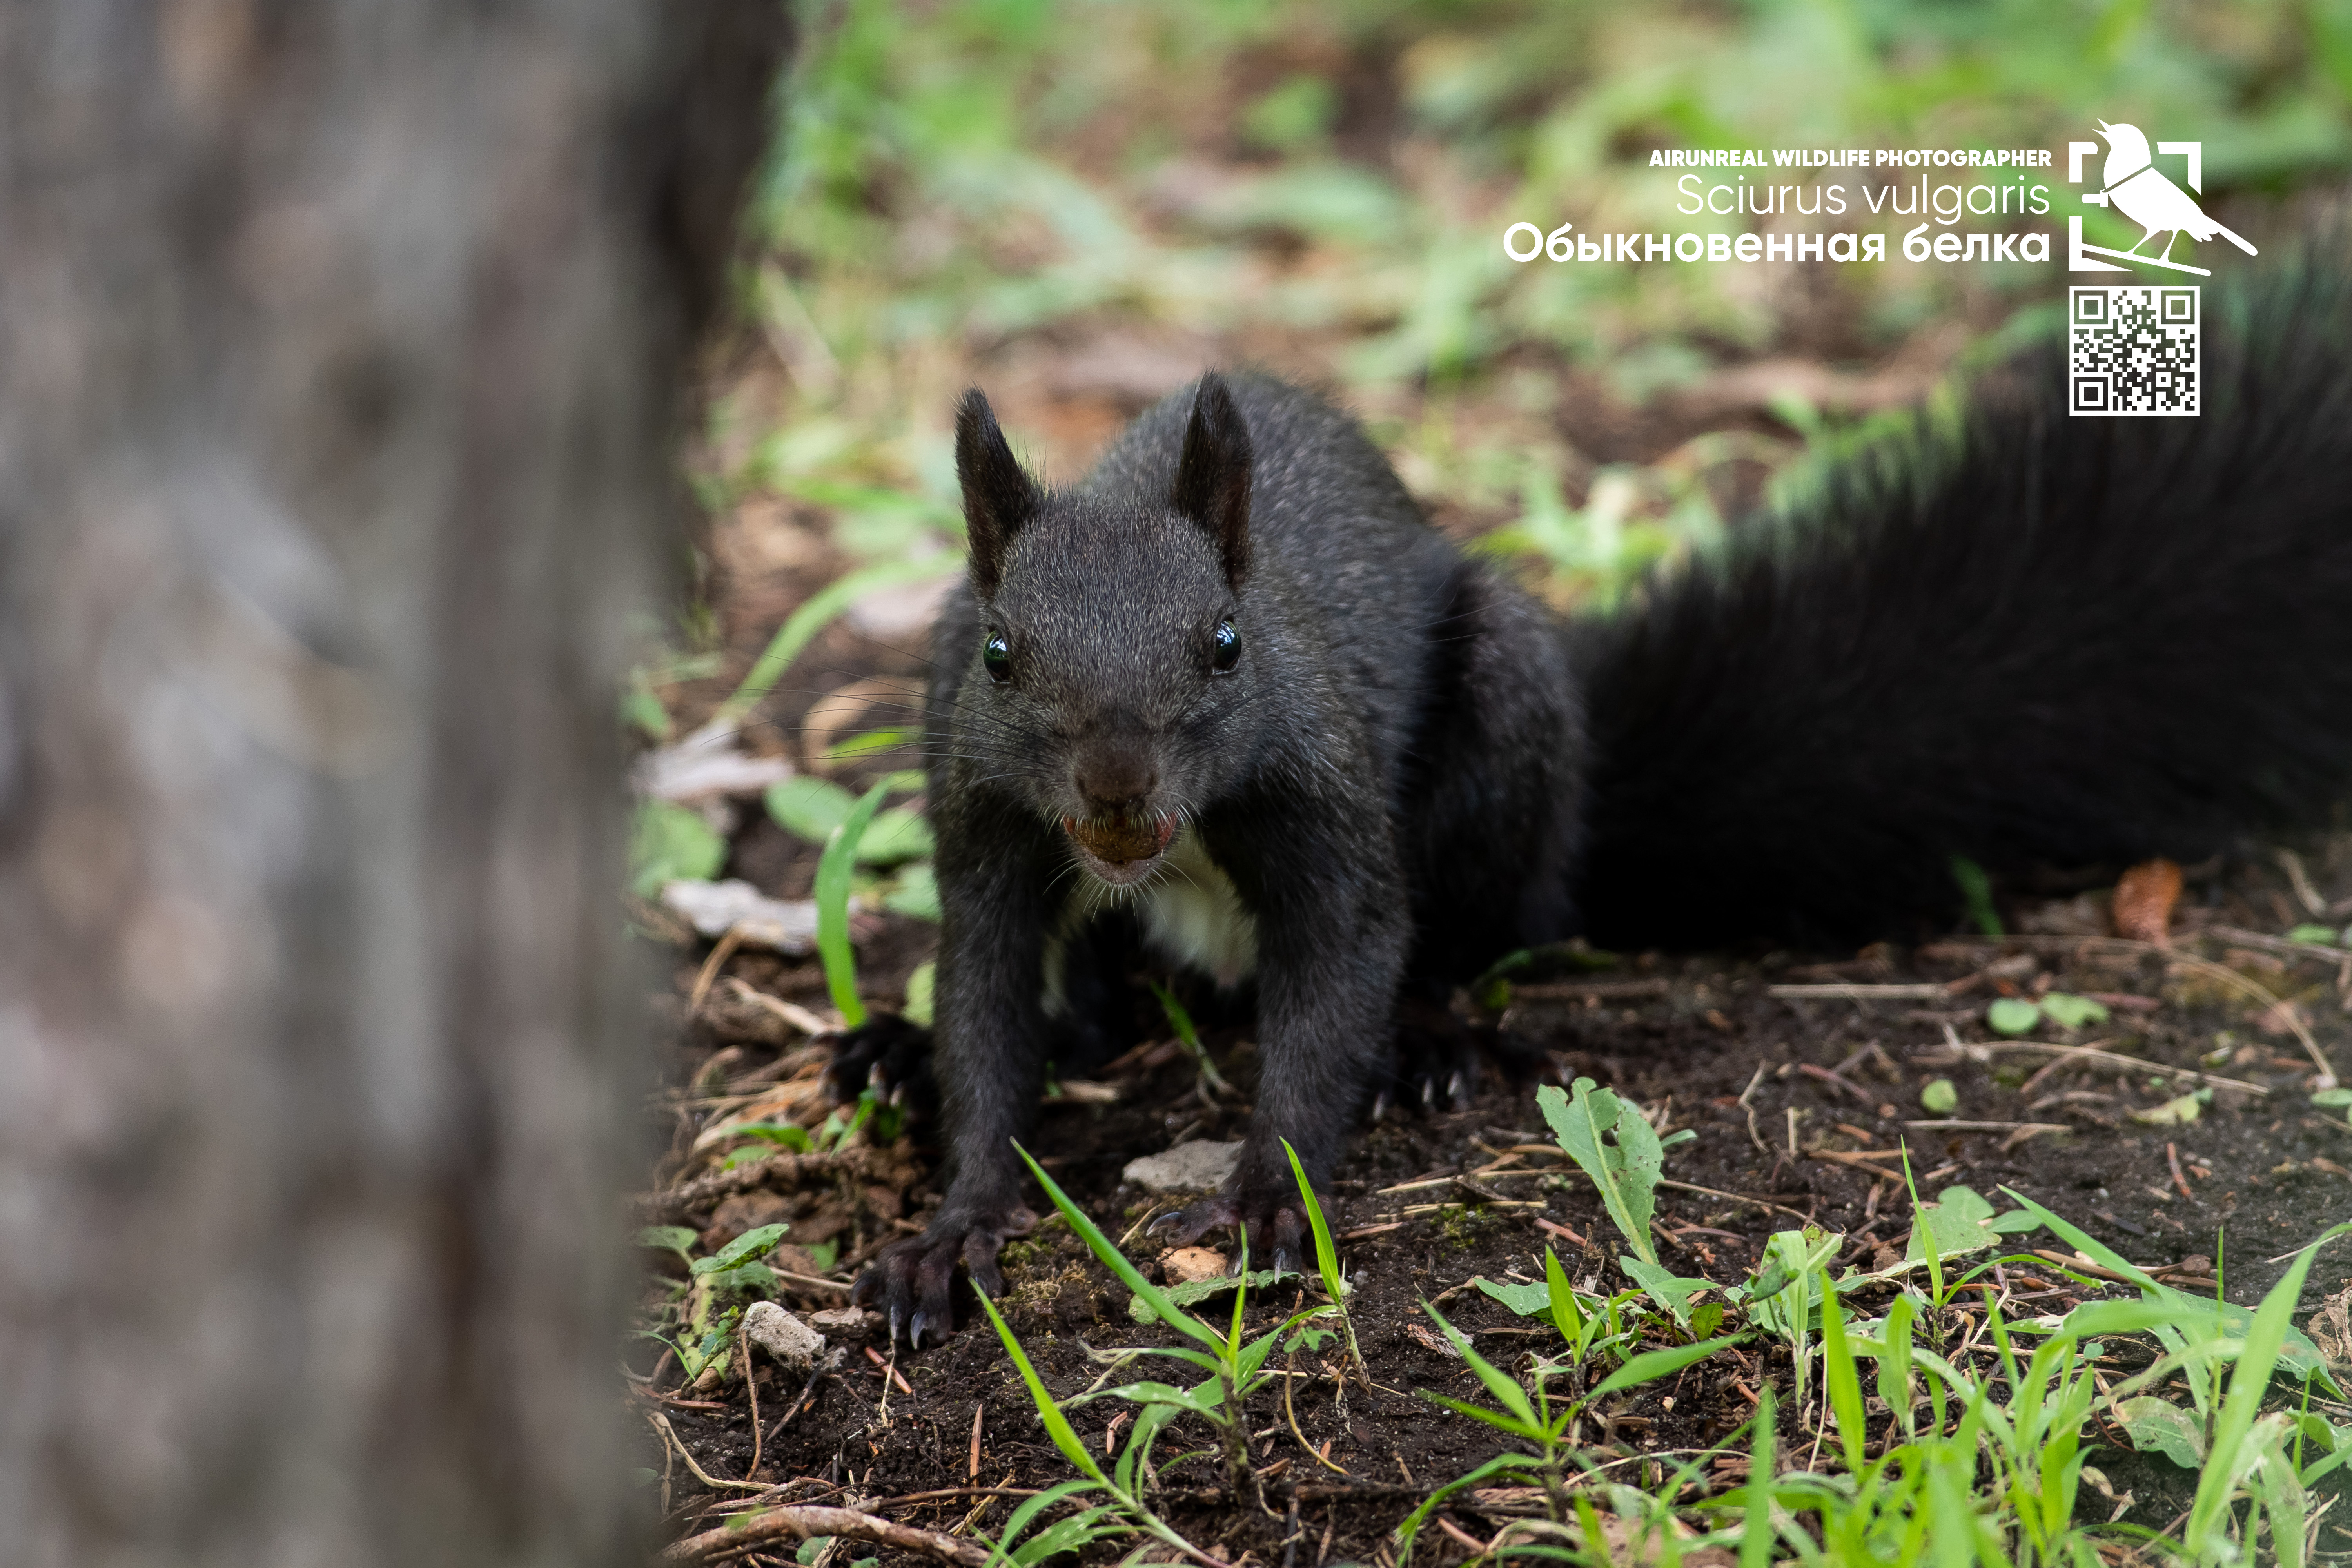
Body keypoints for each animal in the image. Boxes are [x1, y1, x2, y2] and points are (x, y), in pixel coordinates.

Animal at [837, 255, 2352, 1335]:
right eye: (1001, 653)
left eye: (1225, 643)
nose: (1115, 800)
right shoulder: (982, 821)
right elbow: (986, 999)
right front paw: (956, 1221)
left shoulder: (1325, 794)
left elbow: (1338, 973)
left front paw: (1272, 1199)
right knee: (1097, 1010)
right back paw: (894, 1055)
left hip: (1509, 729)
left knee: (1462, 939)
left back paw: (1432, 1041)